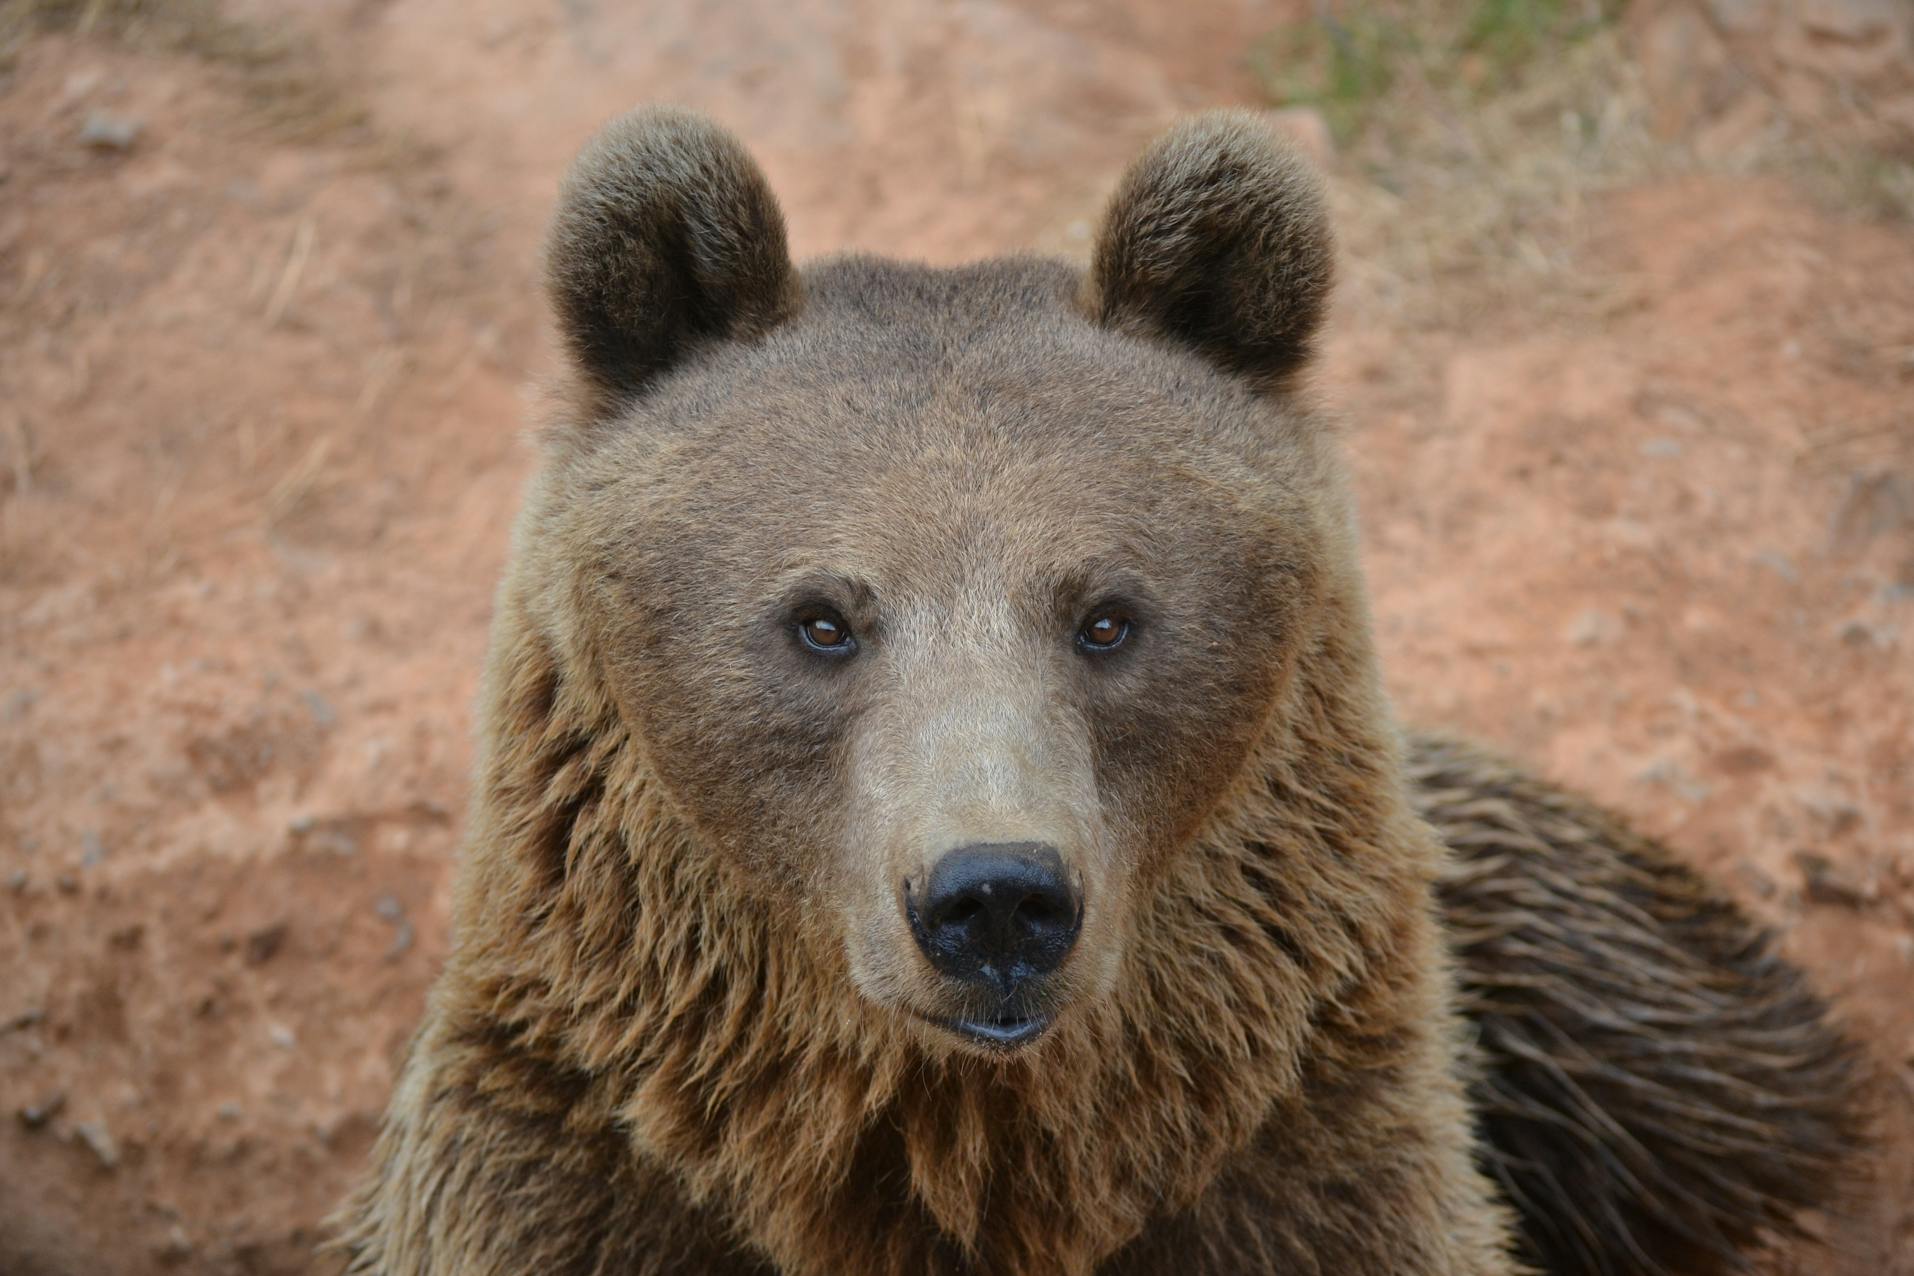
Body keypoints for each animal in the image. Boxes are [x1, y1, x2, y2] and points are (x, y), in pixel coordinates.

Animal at [334, 108, 1864, 1275]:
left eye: (1108, 615)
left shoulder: (1311, 1170)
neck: (971, 1156)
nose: (995, 898)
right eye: (822, 619)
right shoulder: (565, 1179)